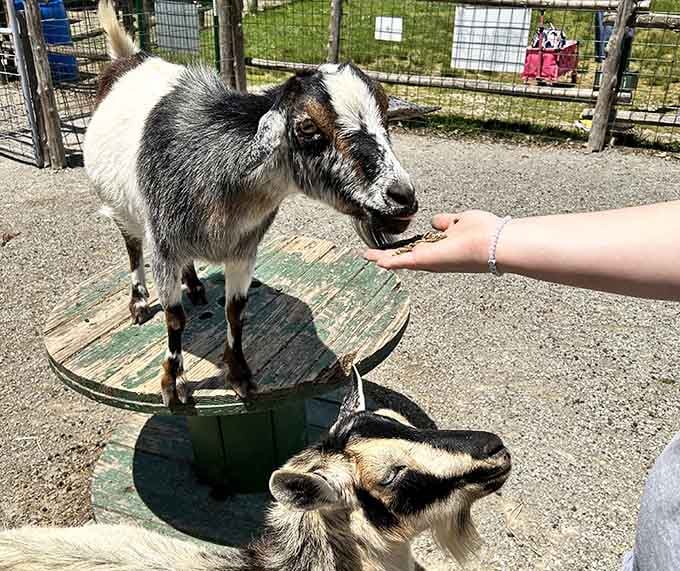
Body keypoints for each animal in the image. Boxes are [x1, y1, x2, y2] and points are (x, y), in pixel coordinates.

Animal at [86, 1, 418, 406]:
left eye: (386, 119)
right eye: (307, 127)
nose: (402, 197)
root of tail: (128, 58)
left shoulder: (243, 250)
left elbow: (235, 312)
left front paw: (239, 373)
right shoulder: (164, 247)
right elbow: (174, 317)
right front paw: (172, 382)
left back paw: (194, 286)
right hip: (123, 210)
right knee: (133, 247)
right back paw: (138, 302)